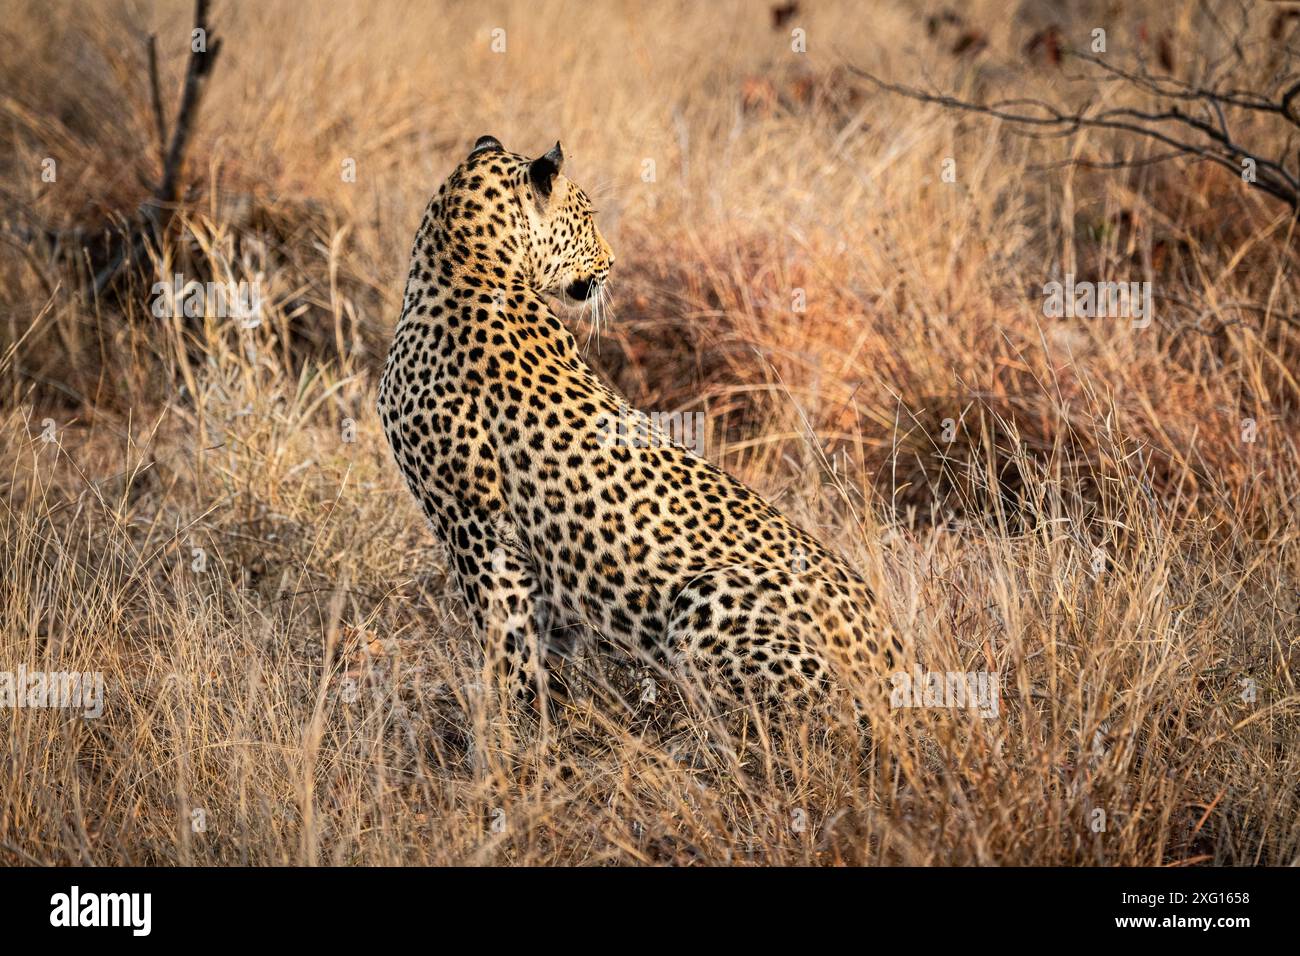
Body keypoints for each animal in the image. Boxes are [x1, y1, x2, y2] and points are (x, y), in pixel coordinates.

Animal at [377, 135, 899, 712]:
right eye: (587, 217)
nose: (612, 261)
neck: (468, 264)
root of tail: (893, 653)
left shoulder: (477, 530)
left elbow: (508, 647)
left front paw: (507, 723)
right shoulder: (488, 537)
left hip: (703, 600)